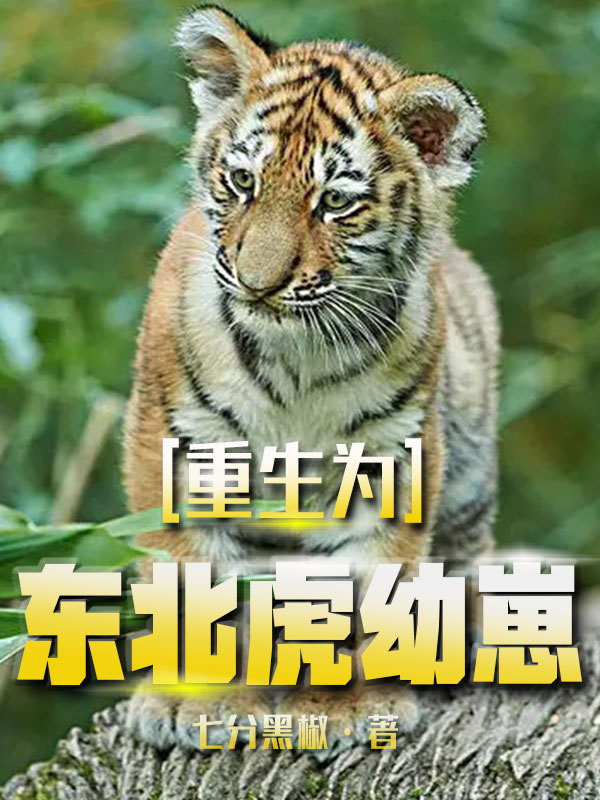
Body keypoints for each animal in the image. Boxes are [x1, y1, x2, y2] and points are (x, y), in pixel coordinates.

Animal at [123, 4, 500, 751]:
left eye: (334, 203)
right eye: (243, 183)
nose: (258, 283)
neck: (295, 352)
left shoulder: (391, 458)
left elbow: (373, 585)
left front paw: (347, 705)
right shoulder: (175, 446)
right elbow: (187, 576)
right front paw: (193, 701)